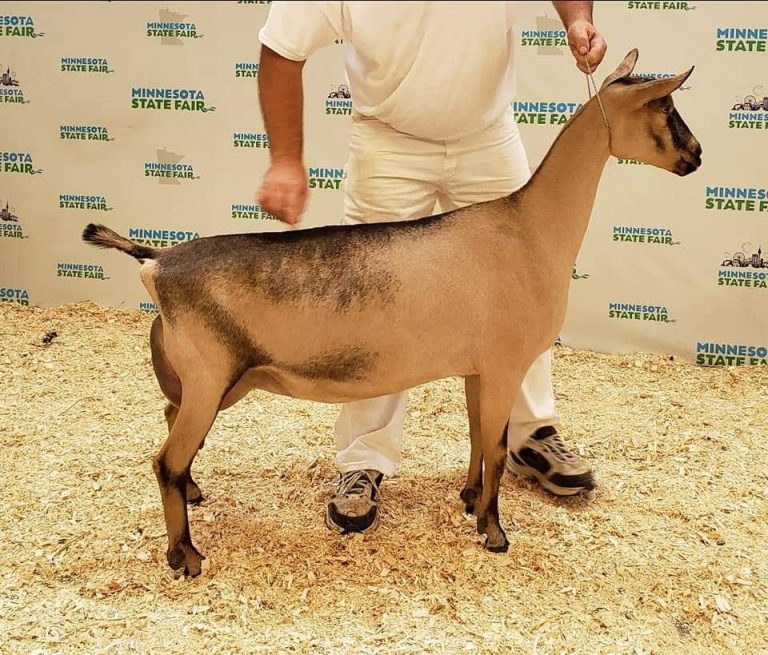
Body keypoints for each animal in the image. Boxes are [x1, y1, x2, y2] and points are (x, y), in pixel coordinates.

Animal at [83, 50, 701, 577]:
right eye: (666, 108)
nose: (696, 156)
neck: (530, 228)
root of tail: (158, 260)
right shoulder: (506, 363)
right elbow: (498, 448)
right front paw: (494, 533)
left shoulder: (478, 368)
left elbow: (477, 436)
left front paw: (469, 499)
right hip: (213, 376)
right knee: (166, 459)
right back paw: (185, 554)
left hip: (214, 381)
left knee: (170, 427)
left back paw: (193, 495)